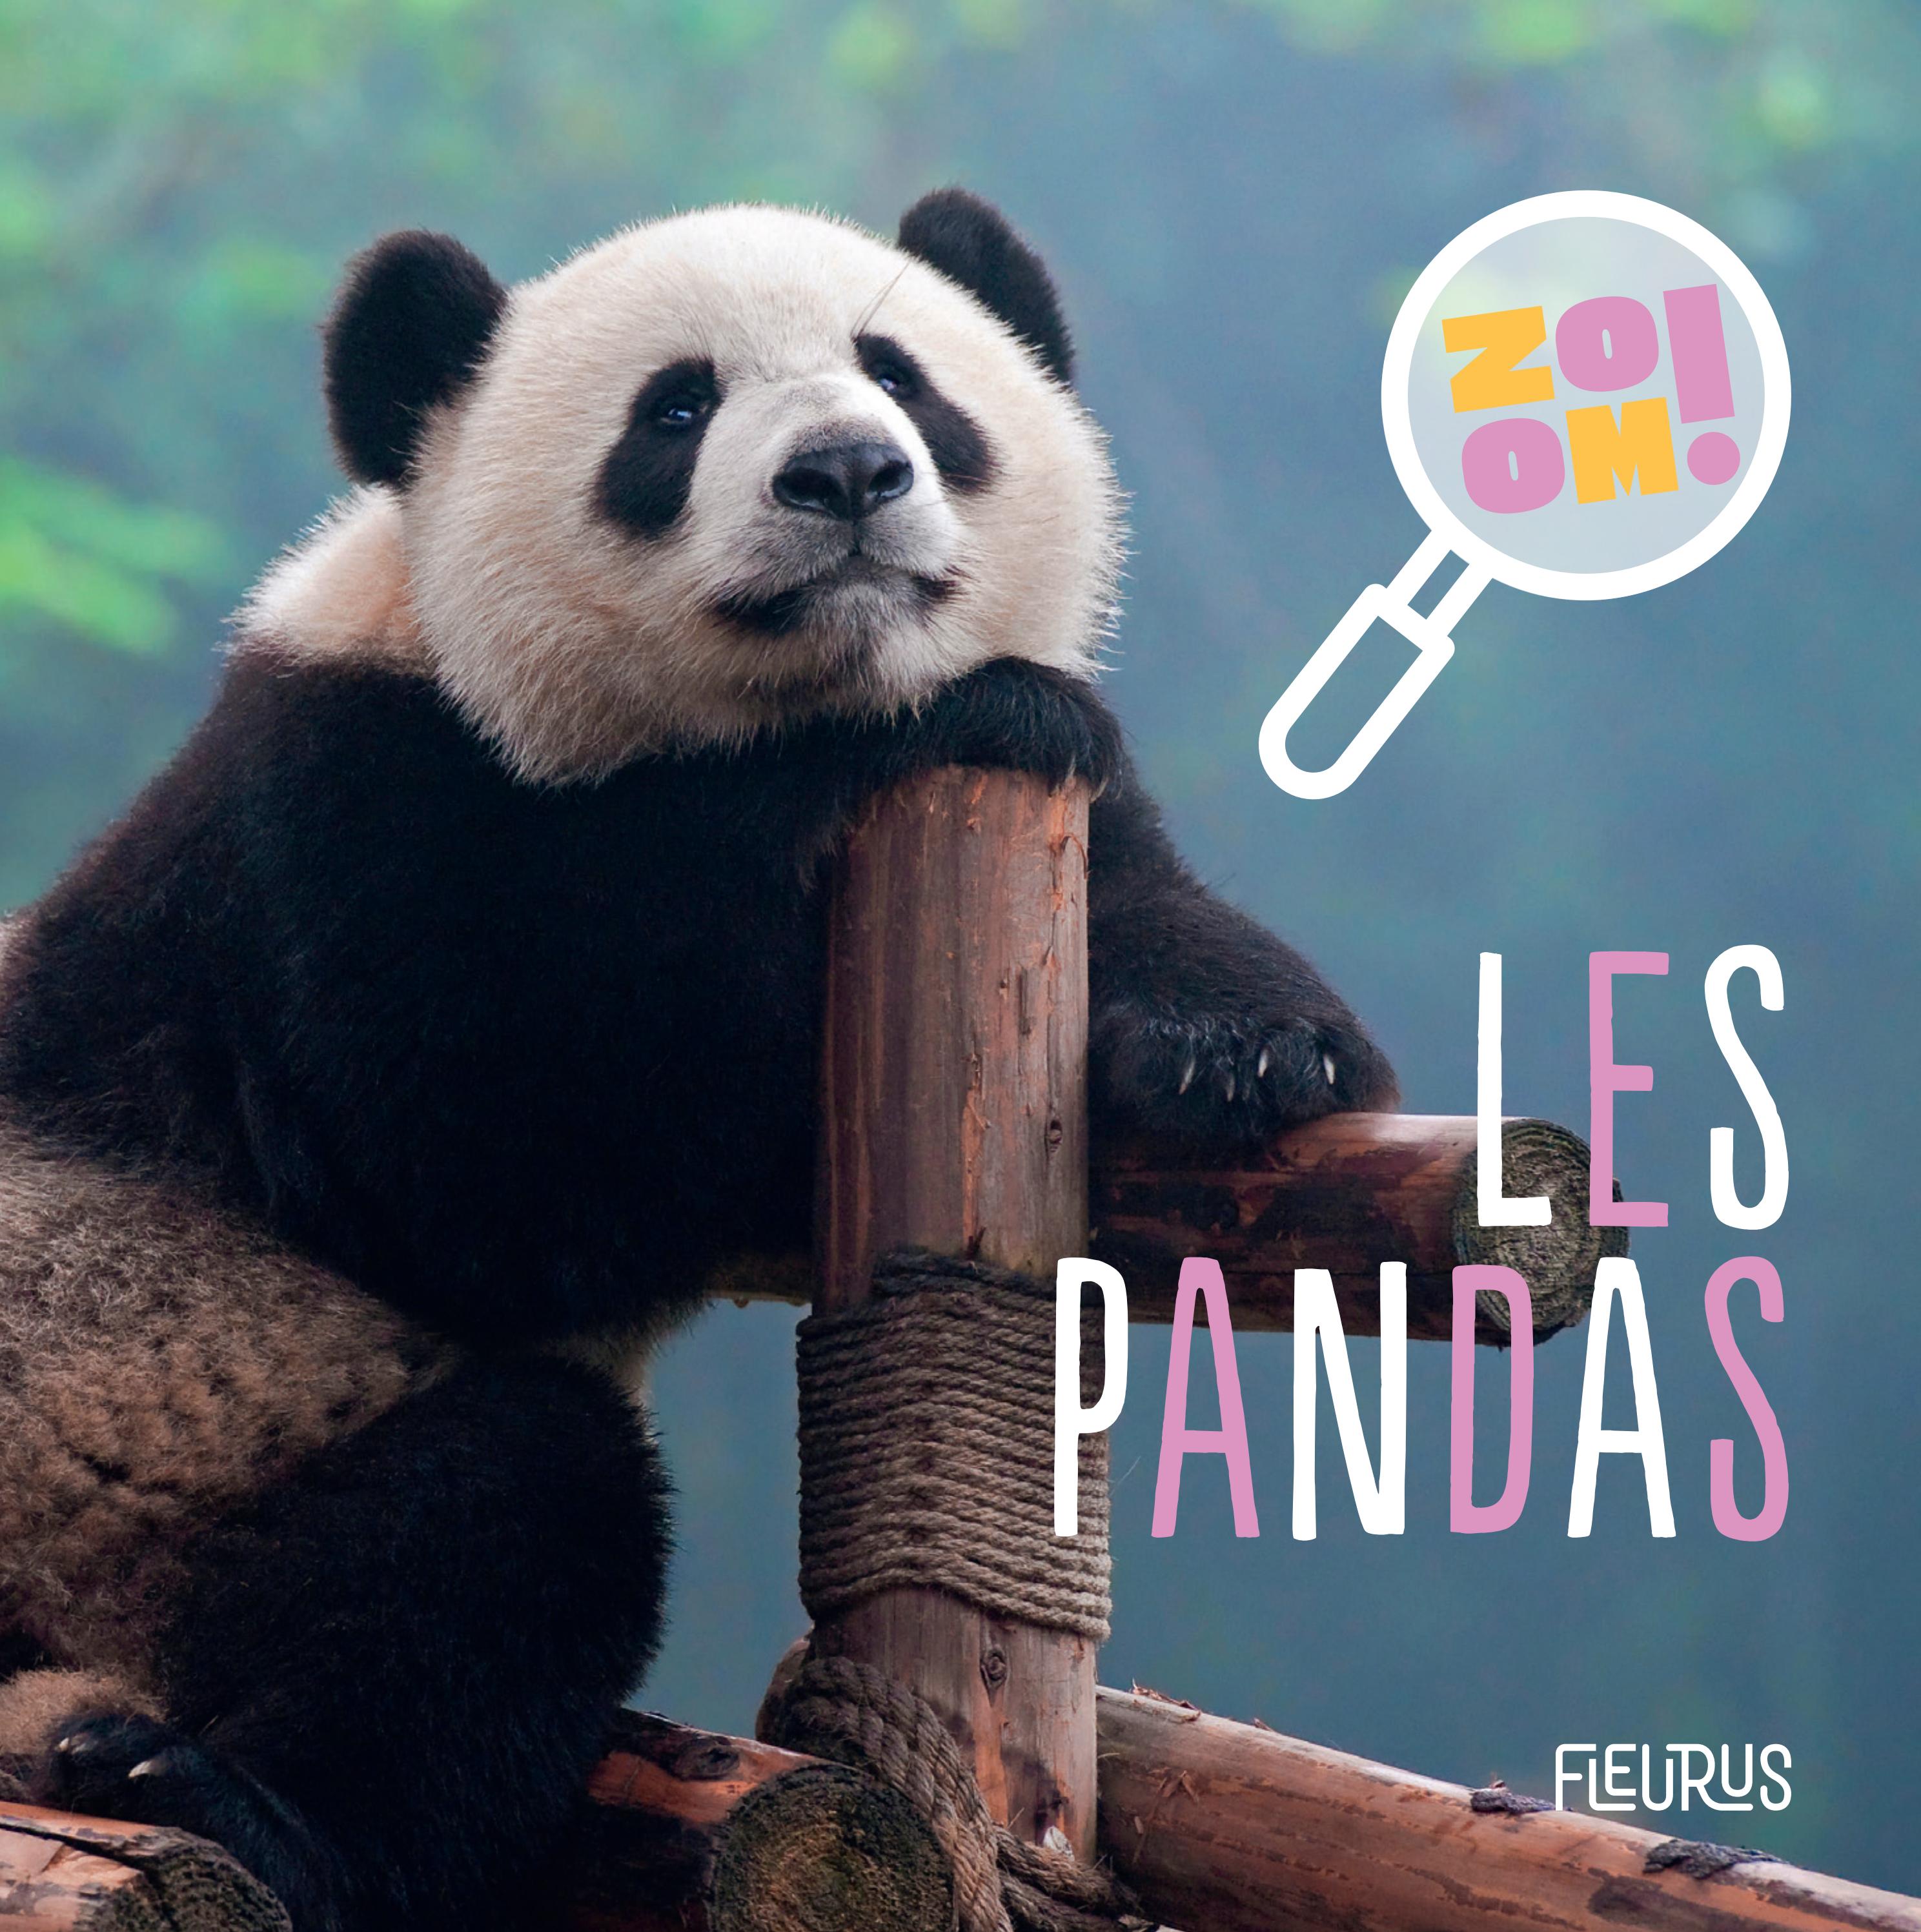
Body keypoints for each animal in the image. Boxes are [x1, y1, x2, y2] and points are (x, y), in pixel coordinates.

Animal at [0, 190, 1395, 1928]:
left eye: (902, 374)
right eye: (674, 411)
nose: (849, 472)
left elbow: (1147, 902)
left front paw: (1239, 1048)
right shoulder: (335, 811)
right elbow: (497, 1149)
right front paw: (918, 734)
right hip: (159, 1476)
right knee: (512, 1516)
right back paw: (221, 1795)